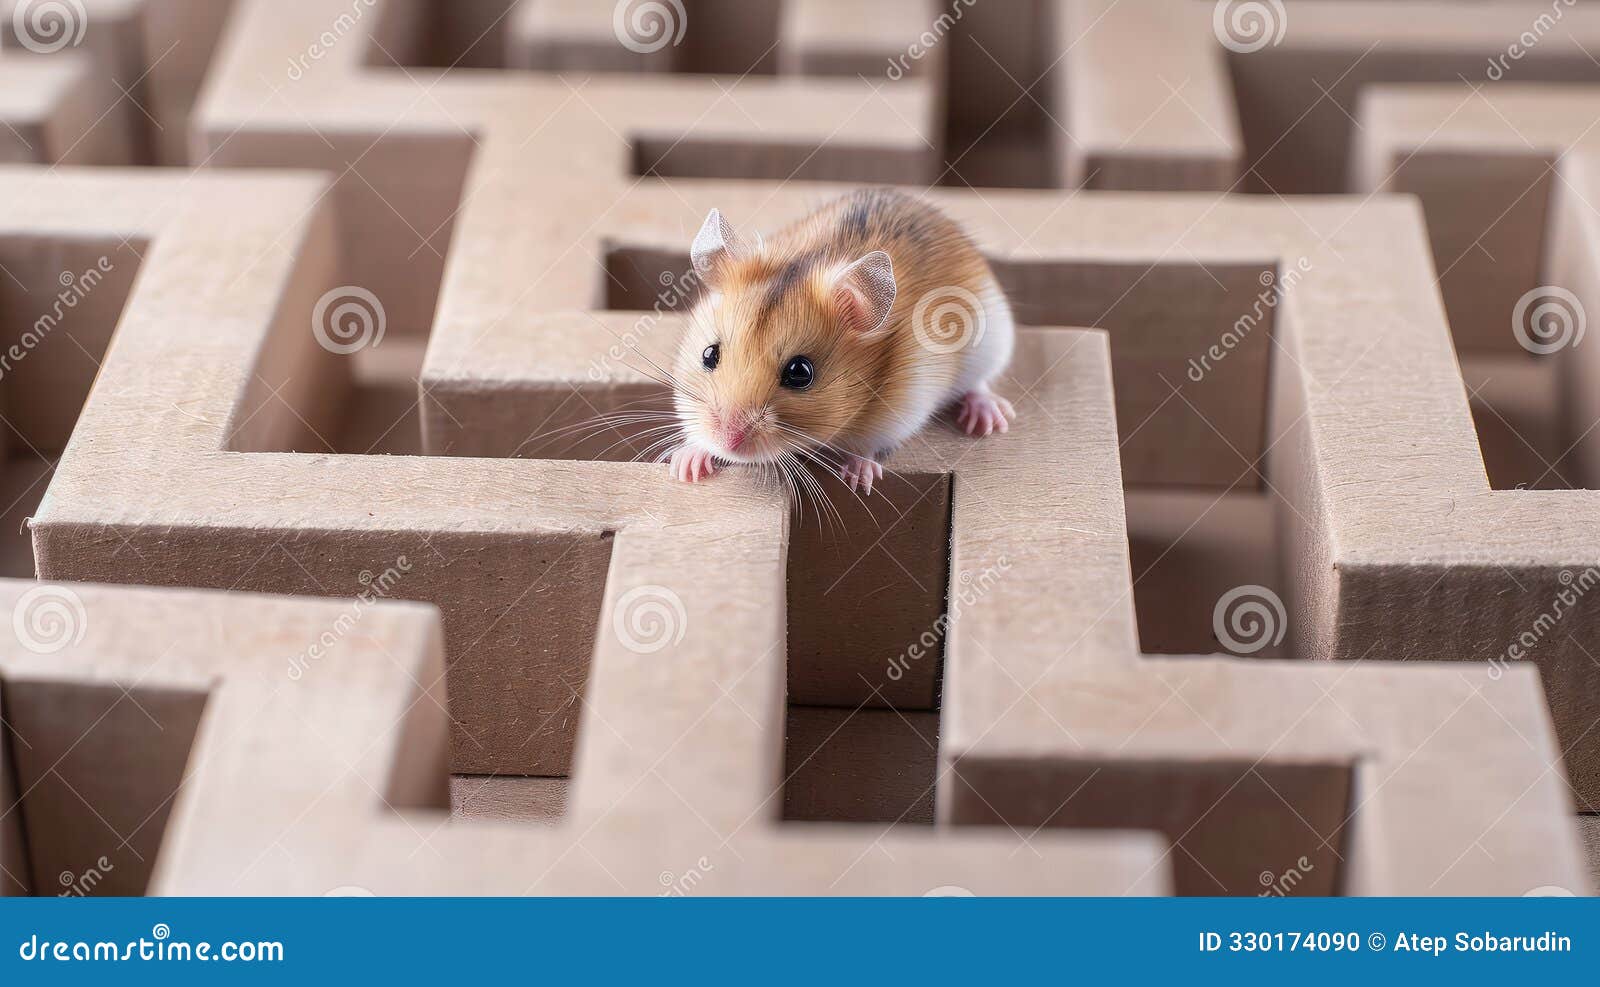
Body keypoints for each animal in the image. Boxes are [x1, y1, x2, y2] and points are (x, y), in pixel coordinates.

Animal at [668, 188, 1015, 495]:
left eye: (800, 373)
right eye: (709, 354)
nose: (727, 442)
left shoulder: (900, 412)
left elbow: (866, 447)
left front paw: (859, 478)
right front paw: (685, 466)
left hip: (992, 341)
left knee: (980, 384)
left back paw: (989, 418)